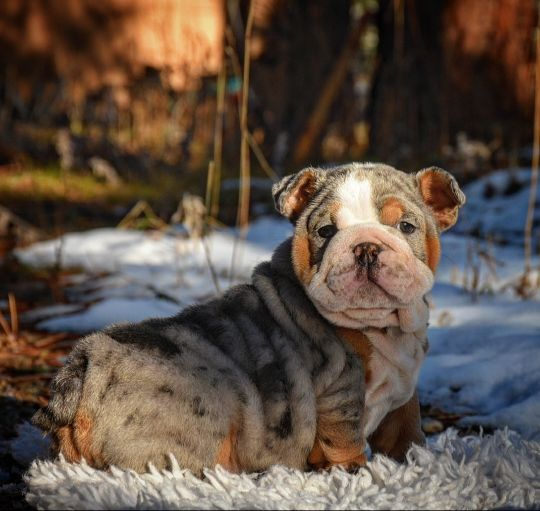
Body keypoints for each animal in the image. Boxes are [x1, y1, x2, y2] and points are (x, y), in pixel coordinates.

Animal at [32, 163, 464, 476]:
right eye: (326, 231)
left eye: (406, 226)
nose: (367, 248)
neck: (381, 325)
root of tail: (84, 369)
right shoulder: (340, 393)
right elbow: (344, 442)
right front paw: (357, 474)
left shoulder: (403, 396)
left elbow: (407, 432)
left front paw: (421, 464)